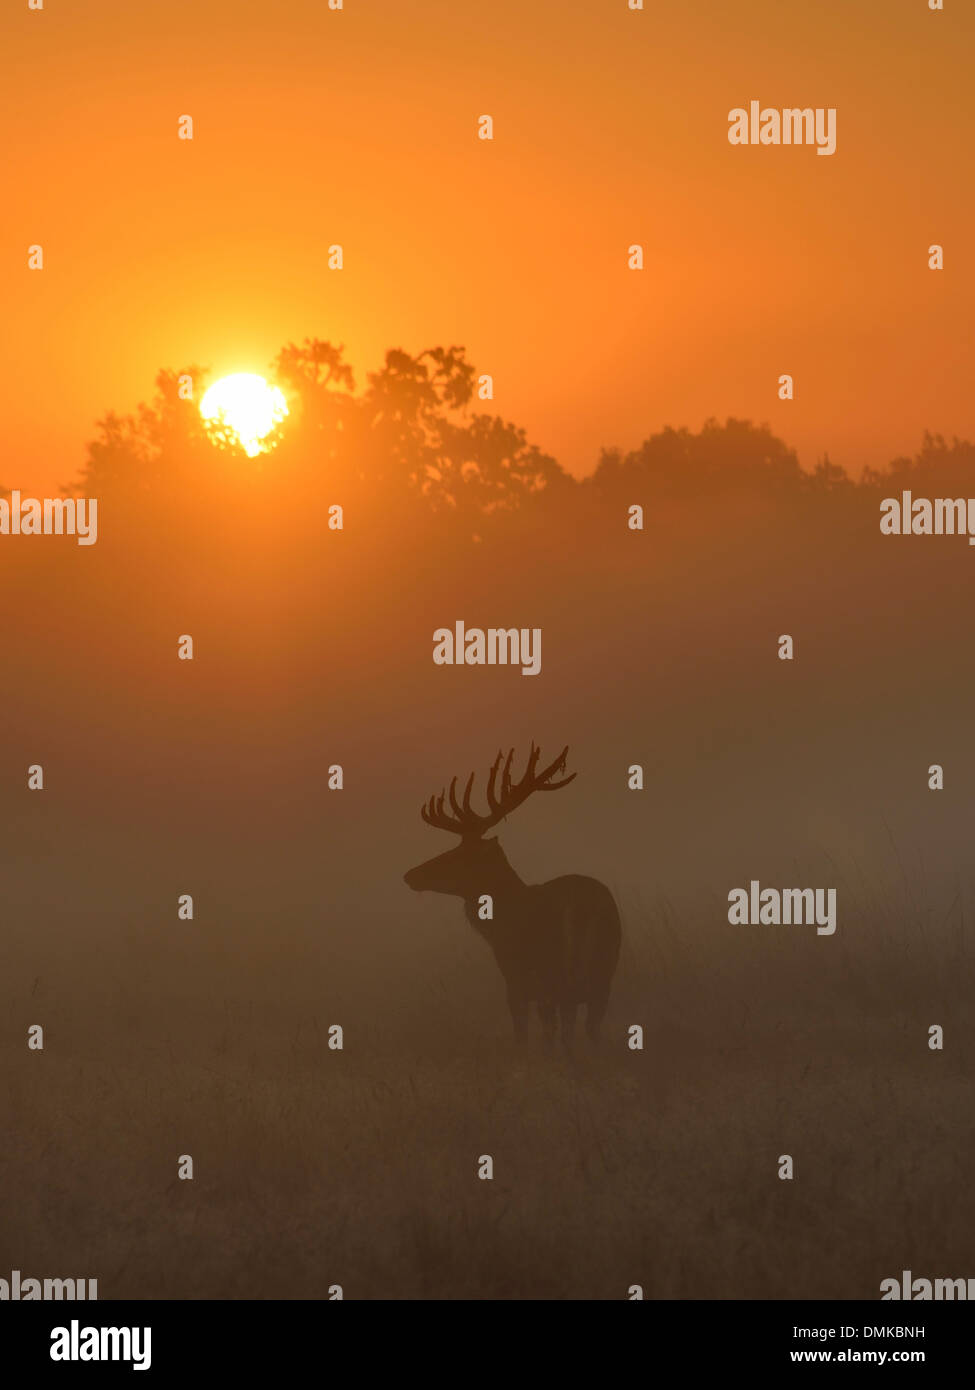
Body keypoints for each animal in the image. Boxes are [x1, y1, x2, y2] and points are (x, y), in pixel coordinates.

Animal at [403, 744, 621, 1048]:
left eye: (459, 855)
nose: (410, 874)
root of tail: (583, 909)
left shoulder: (516, 981)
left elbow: (523, 1035)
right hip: (602, 974)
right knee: (590, 1028)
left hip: (554, 973)